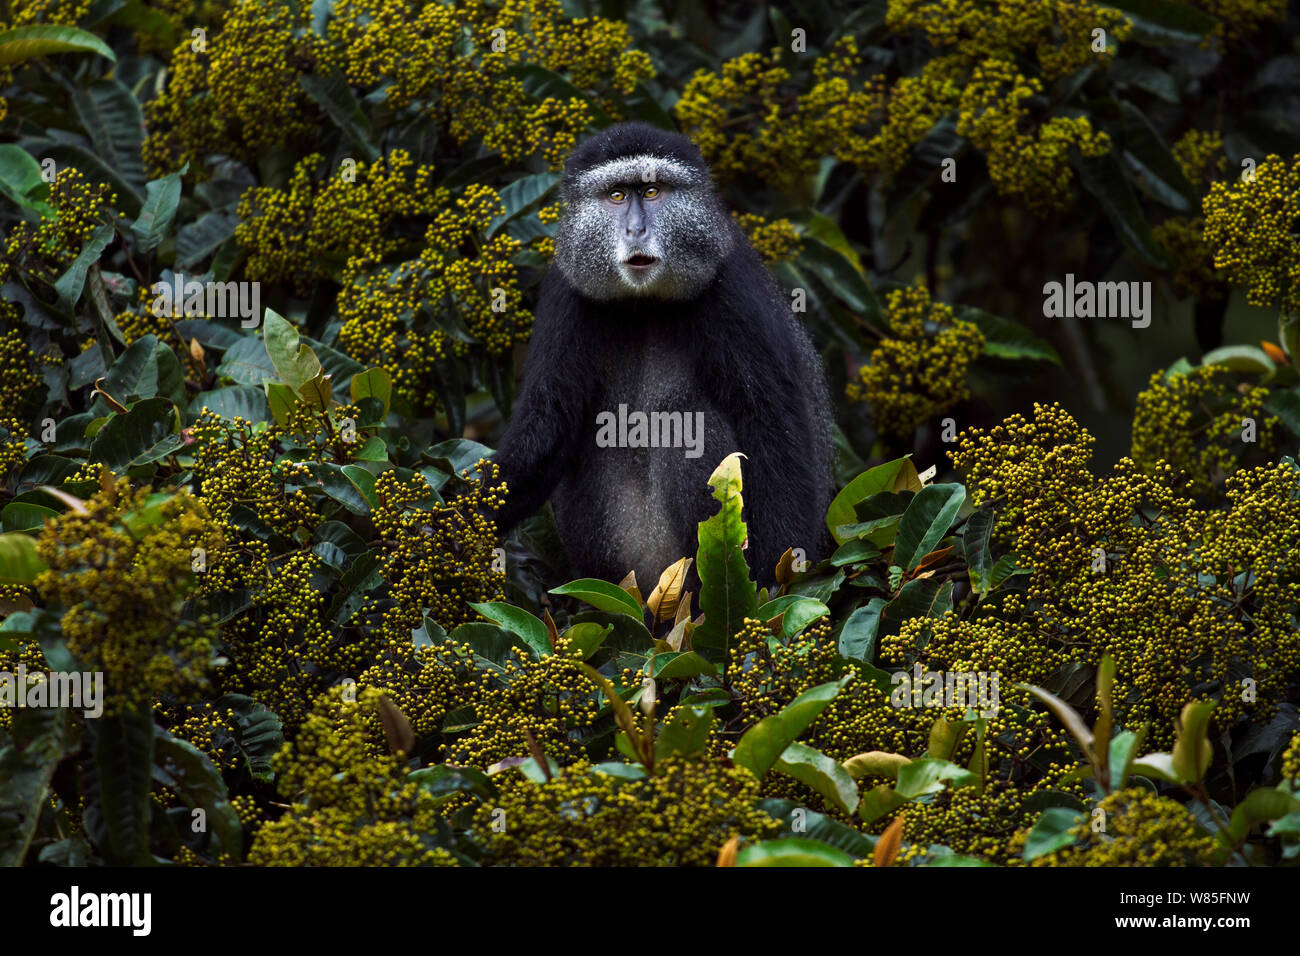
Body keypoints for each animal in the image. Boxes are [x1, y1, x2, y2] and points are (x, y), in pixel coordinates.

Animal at [490, 121, 833, 590]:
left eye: (652, 191)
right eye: (617, 195)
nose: (635, 231)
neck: (646, 303)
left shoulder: (730, 281)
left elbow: (772, 420)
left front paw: (776, 582)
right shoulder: (566, 288)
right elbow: (547, 422)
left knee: (686, 415)